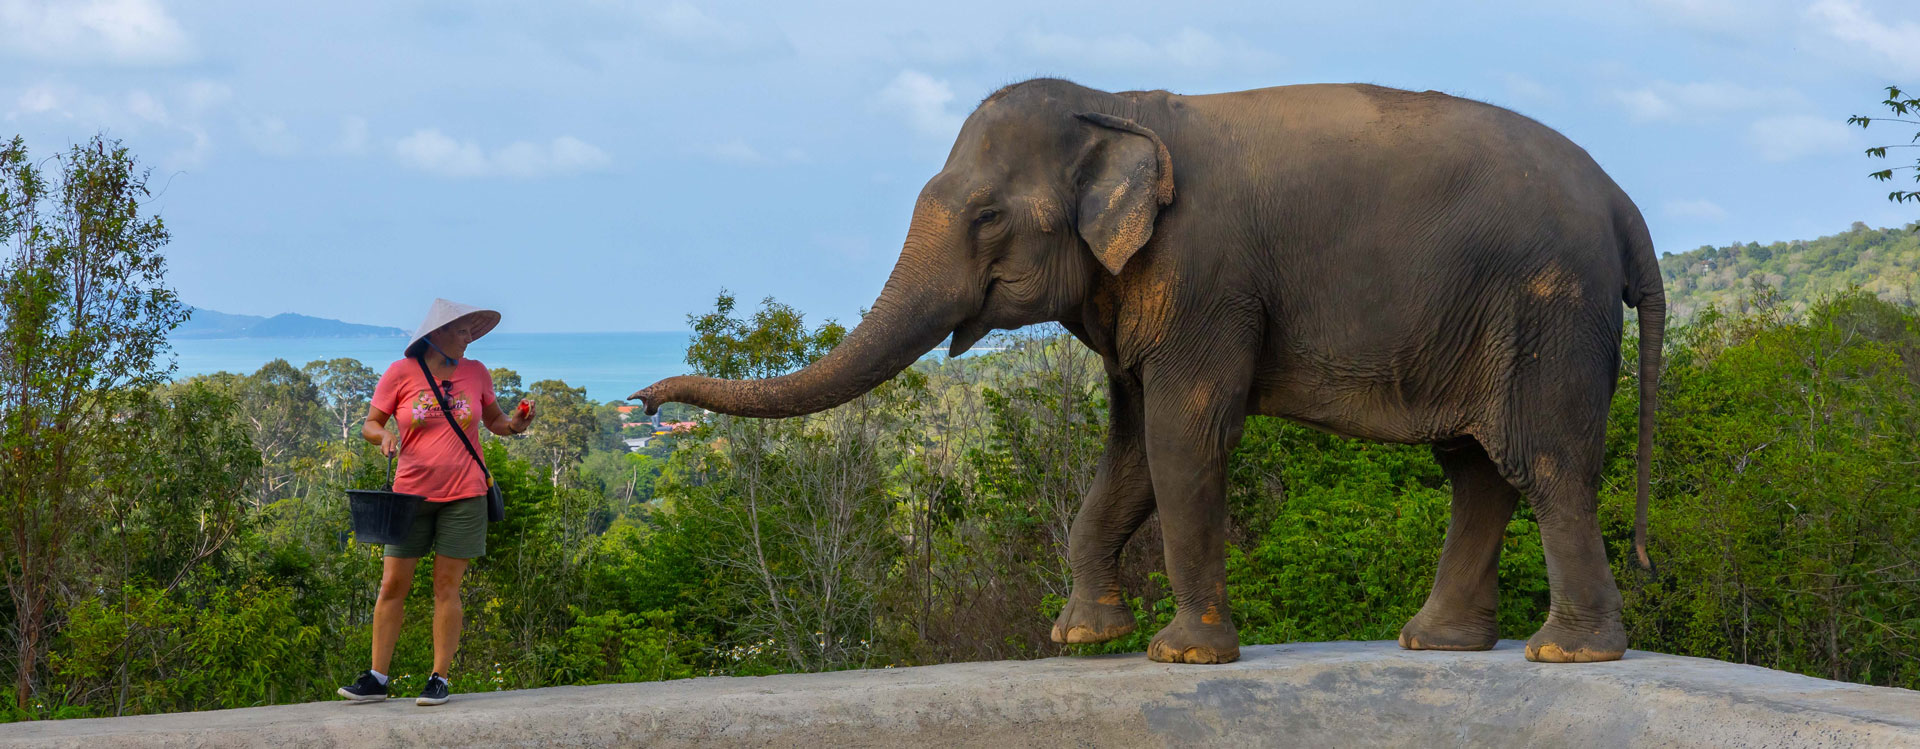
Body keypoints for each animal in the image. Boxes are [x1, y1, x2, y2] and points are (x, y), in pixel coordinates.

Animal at [632, 78, 1665, 665]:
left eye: (988, 216)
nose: (638, 399)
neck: (1124, 107)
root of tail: (1623, 204)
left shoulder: (1205, 277)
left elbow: (1183, 437)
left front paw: (1182, 656)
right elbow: (1127, 450)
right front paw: (1083, 638)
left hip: (1547, 310)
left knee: (1546, 464)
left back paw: (1565, 655)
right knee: (1476, 468)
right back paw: (1439, 642)